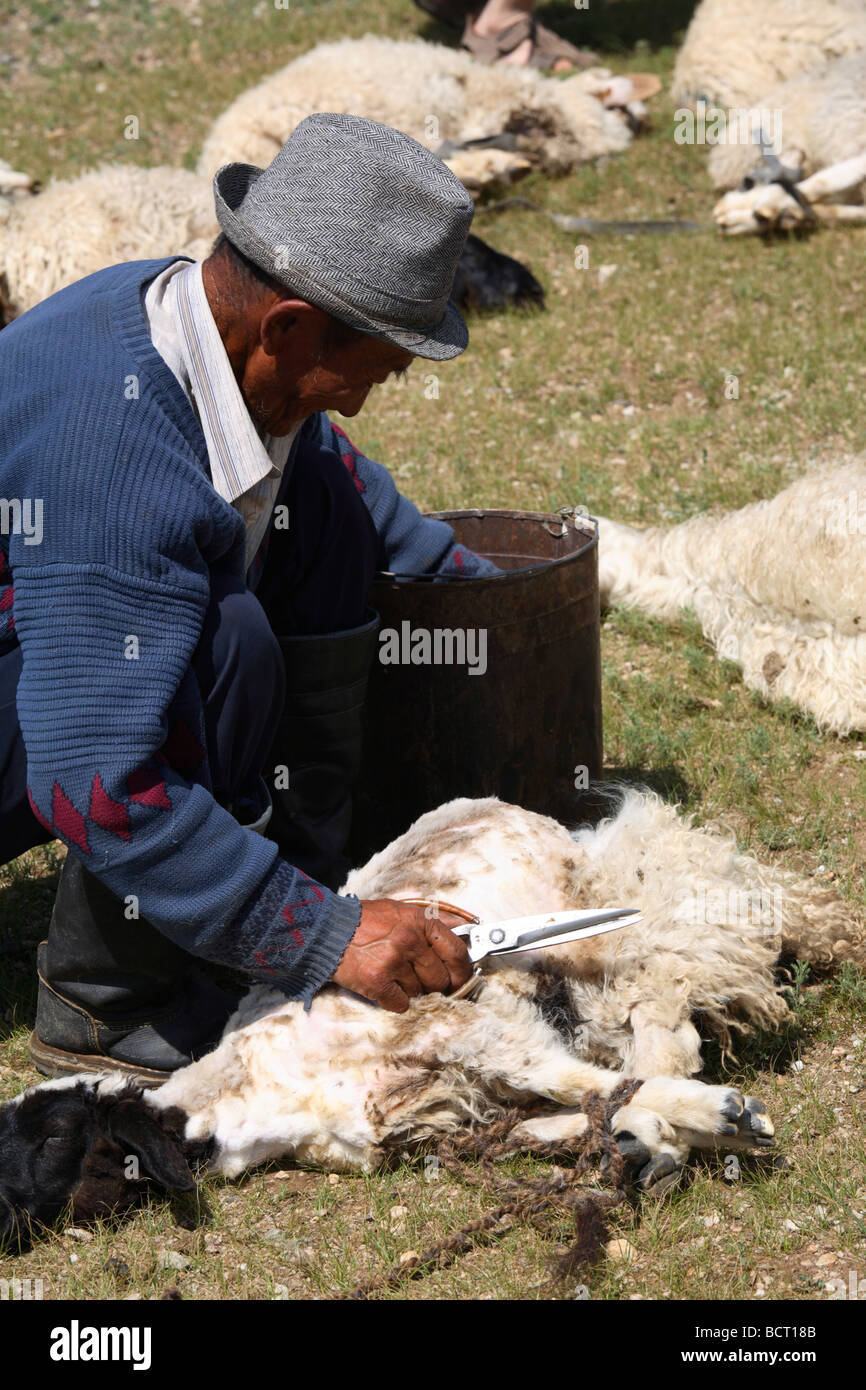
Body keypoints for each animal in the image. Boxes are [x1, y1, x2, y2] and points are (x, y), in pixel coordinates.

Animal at [2, 783, 861, 1247]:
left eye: (55, 1136)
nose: (8, 1219)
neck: (259, 1094)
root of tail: (502, 804)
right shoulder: (428, 1113)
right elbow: (541, 1120)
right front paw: (645, 1138)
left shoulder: (453, 1027)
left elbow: (574, 1081)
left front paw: (716, 1117)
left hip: (620, 912)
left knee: (674, 989)